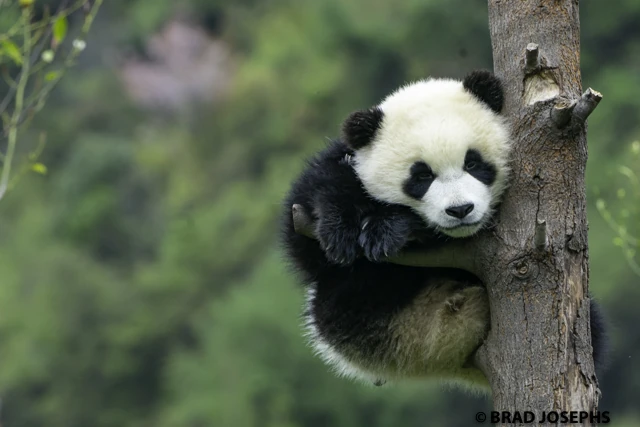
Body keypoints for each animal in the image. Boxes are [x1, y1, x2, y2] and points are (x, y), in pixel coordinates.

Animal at [280, 70, 607, 388]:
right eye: (422, 176)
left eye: (472, 163)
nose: (460, 210)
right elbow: (307, 233)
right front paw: (344, 230)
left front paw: (387, 228)